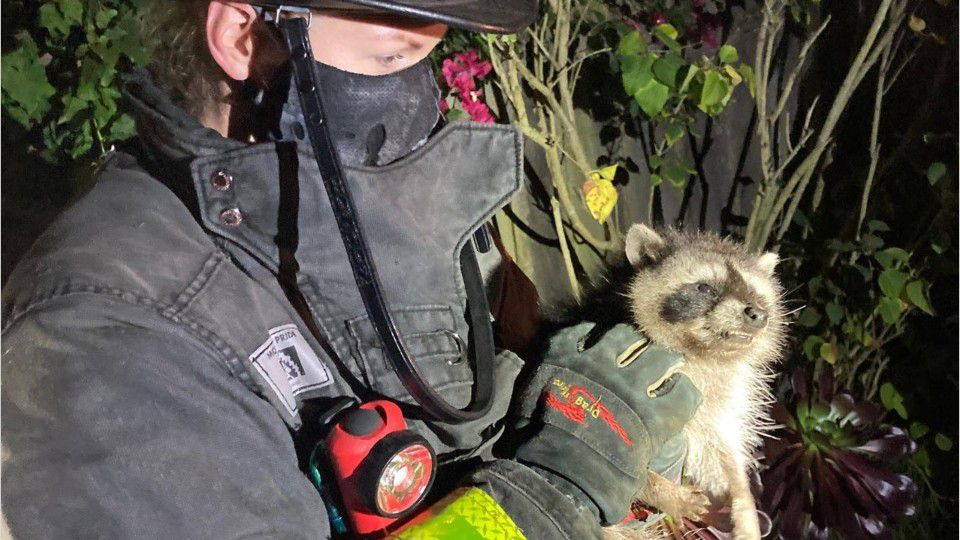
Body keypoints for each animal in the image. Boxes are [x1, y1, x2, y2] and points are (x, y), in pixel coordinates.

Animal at [548, 224, 787, 540]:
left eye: (755, 292)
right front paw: (664, 492)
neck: (701, 353)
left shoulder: (716, 402)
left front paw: (743, 503)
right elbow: (627, 470)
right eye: (704, 287)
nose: (757, 314)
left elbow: (721, 453)